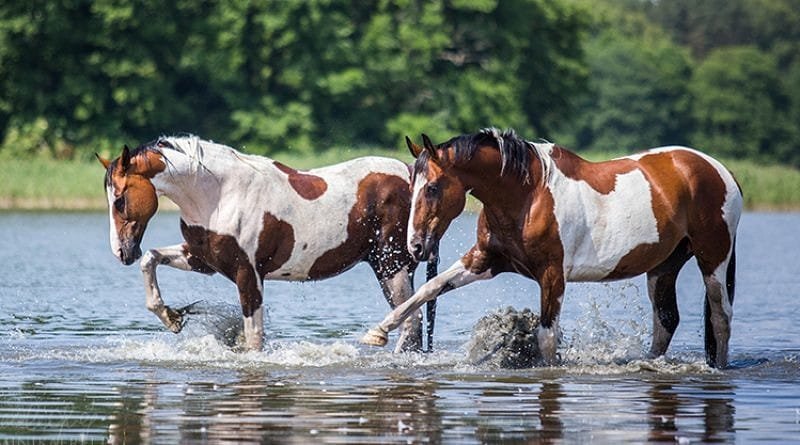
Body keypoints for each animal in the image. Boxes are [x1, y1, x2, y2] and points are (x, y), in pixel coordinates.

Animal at [97, 135, 438, 352]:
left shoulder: (248, 274)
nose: (122, 252)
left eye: (119, 200)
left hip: (391, 266)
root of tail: (411, 174)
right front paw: (171, 317)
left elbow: (254, 339)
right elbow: (151, 260)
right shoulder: (202, 260)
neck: (218, 194)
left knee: (411, 321)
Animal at [361, 128, 743, 368]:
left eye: (433, 188)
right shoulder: (483, 260)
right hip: (664, 266)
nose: (416, 245)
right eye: (412, 186)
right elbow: (427, 289)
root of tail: (721, 170)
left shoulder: (552, 275)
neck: (528, 196)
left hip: (713, 256)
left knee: (721, 317)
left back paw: (718, 368)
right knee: (666, 320)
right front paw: (377, 332)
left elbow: (547, 336)